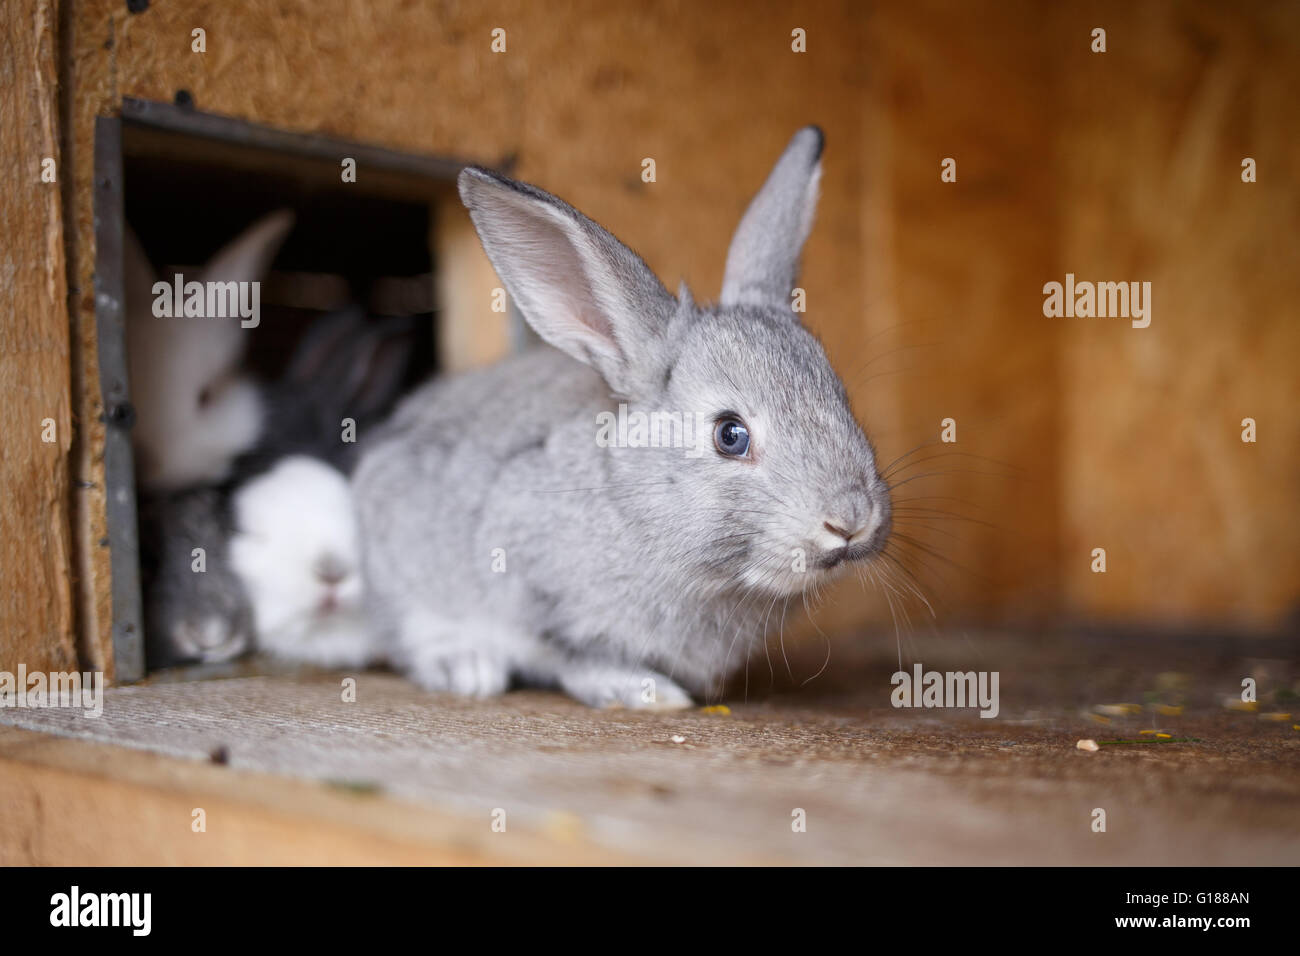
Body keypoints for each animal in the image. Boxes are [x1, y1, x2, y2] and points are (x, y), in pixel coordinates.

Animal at [352, 126, 892, 709]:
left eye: (841, 397)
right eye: (730, 435)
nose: (851, 518)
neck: (633, 503)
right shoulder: (530, 586)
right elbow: (573, 657)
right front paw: (645, 692)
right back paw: (467, 669)